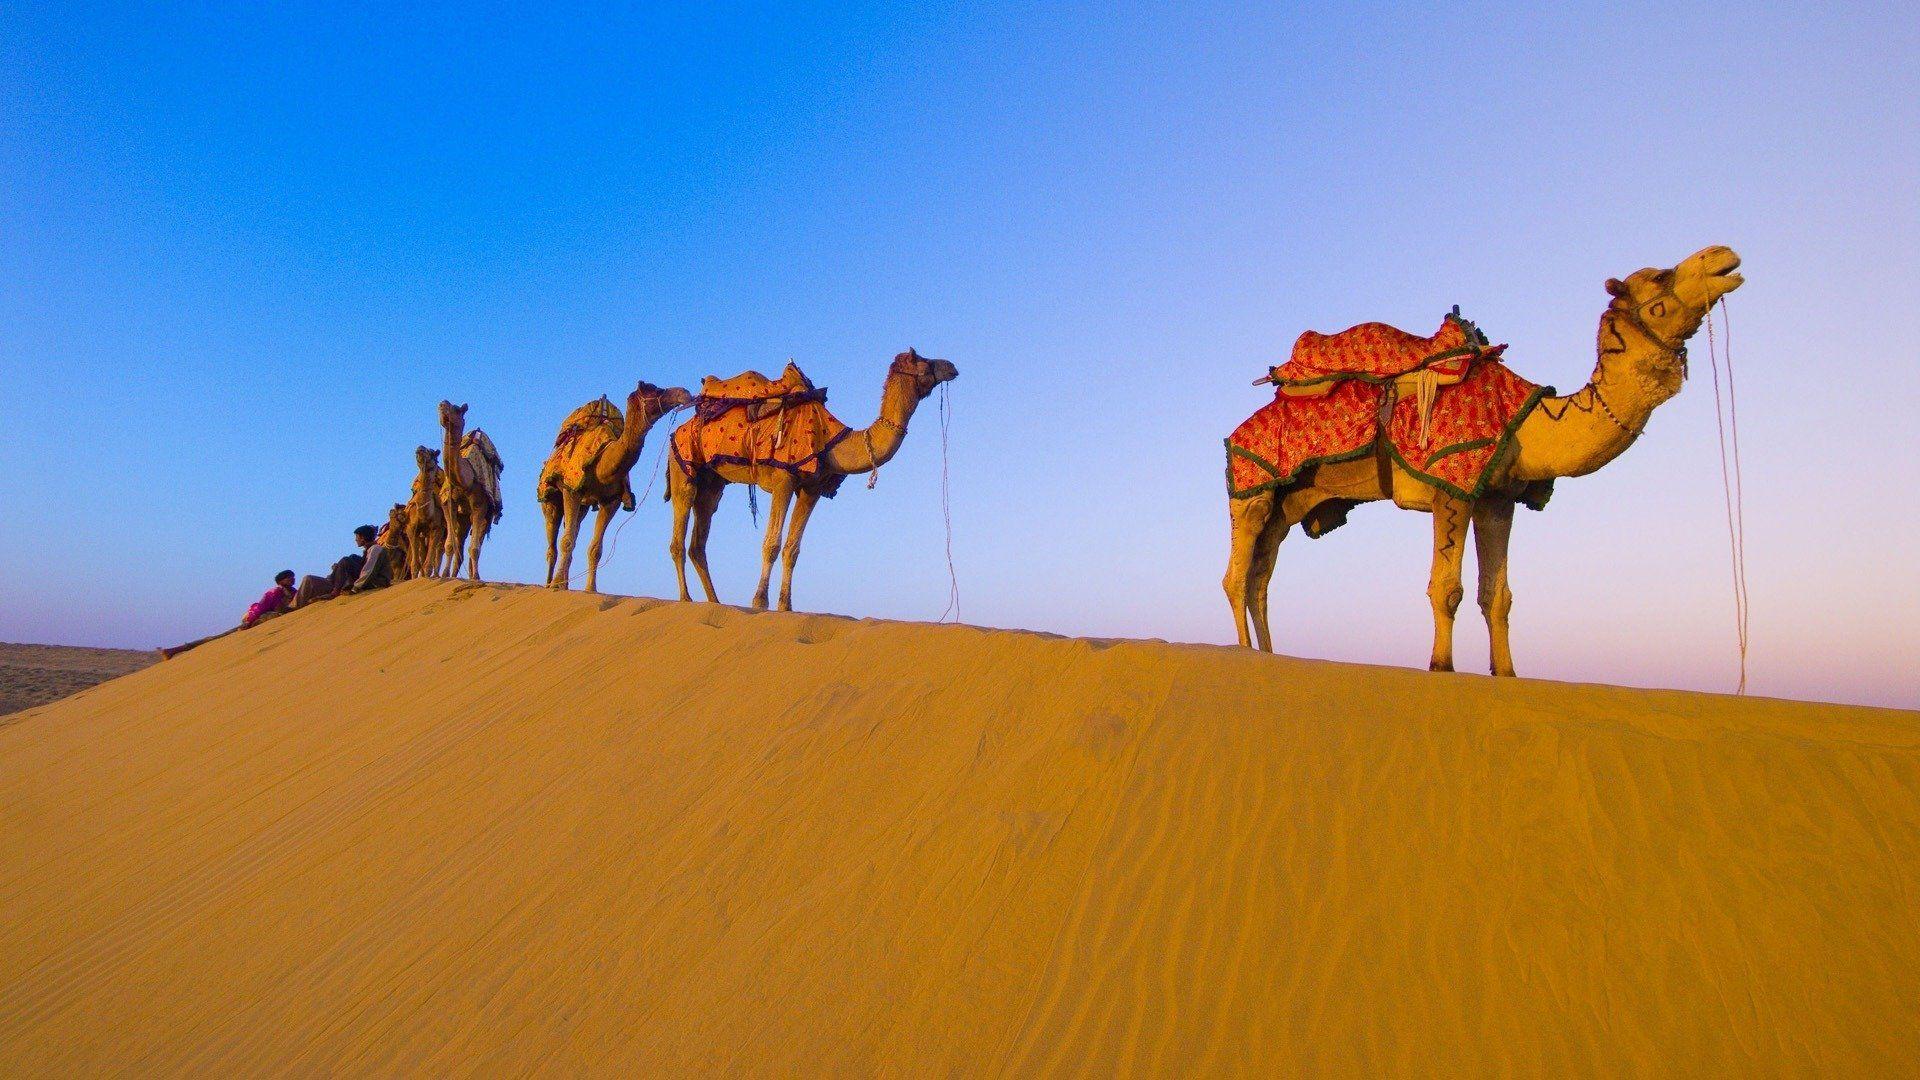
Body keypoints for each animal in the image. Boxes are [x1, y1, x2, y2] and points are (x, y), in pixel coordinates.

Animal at [403, 446, 447, 580]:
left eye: (432, 453)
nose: (420, 448)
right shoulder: (411, 529)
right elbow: (415, 563)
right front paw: (415, 578)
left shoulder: (437, 529)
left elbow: (429, 561)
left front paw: (427, 576)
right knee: (423, 552)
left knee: (440, 551)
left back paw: (438, 575)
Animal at [435, 401, 505, 581]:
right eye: (442, 406)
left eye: (456, 410)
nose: (442, 405)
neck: (464, 481)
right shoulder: (448, 503)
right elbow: (450, 544)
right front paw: (445, 575)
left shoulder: (480, 505)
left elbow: (474, 548)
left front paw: (475, 577)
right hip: (463, 518)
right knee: (460, 544)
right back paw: (454, 575)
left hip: (485, 516)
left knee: (477, 543)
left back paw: (474, 575)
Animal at [538, 381, 693, 593]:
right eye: (655, 389)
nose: (684, 392)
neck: (601, 463)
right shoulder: (571, 490)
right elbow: (567, 542)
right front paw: (556, 585)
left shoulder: (611, 501)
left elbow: (595, 548)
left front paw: (591, 589)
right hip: (550, 498)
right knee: (553, 544)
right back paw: (550, 584)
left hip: (584, 506)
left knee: (574, 531)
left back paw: (566, 584)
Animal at [669, 349, 958, 611]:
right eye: (922, 360)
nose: (951, 366)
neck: (833, 441)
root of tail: (681, 427)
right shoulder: (783, 480)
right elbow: (772, 544)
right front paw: (760, 602)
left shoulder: (812, 489)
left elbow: (792, 549)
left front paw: (786, 606)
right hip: (683, 467)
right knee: (678, 536)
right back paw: (685, 599)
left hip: (712, 483)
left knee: (699, 539)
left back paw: (714, 602)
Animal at [1223, 245, 1744, 676]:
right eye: (1659, 276)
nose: (1725, 256)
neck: (1529, 422)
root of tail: (1237, 429)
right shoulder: (1451, 487)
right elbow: (1446, 588)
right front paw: (1442, 666)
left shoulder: (1497, 497)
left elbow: (1498, 596)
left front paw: (1506, 672)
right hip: (1252, 487)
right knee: (1237, 575)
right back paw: (1246, 652)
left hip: (1293, 500)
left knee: (1261, 577)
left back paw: (1268, 653)